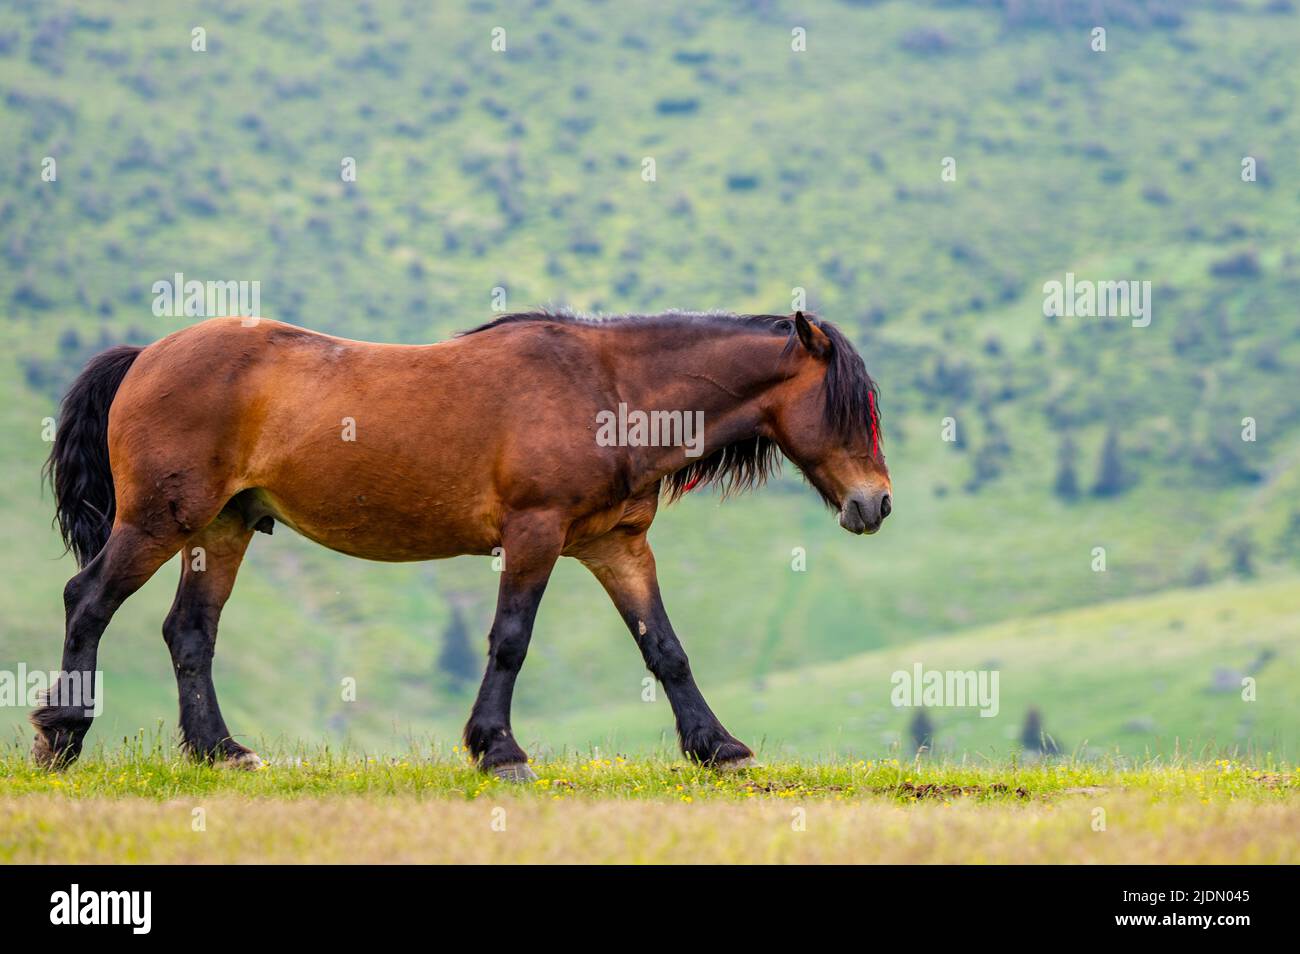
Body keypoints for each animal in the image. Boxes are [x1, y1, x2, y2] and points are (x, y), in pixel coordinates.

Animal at [33, 309, 891, 779]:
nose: (875, 503)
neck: (608, 388)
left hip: (222, 526)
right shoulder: (534, 533)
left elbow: (666, 650)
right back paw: (61, 736)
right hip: (158, 523)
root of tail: (145, 356)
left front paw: (717, 746)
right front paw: (498, 749)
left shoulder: (617, 547)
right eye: (850, 406)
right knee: (88, 601)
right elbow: (510, 641)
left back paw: (222, 751)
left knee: (190, 633)